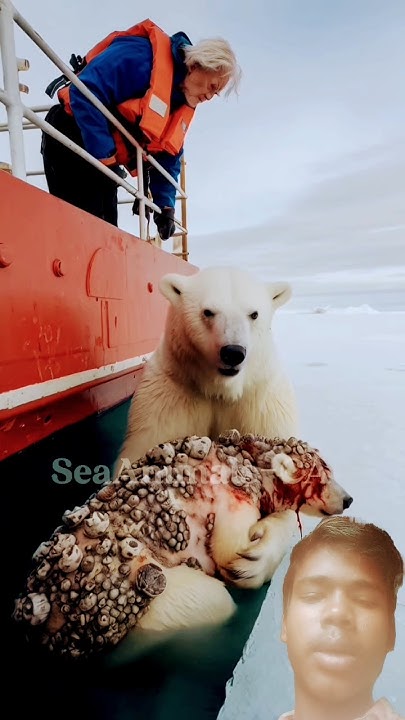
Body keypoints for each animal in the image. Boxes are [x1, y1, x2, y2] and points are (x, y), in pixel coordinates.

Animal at [13, 430, 353, 658]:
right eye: (323, 472)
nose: (348, 499)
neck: (251, 460)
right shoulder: (229, 493)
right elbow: (231, 548)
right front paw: (250, 562)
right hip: (132, 593)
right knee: (210, 600)